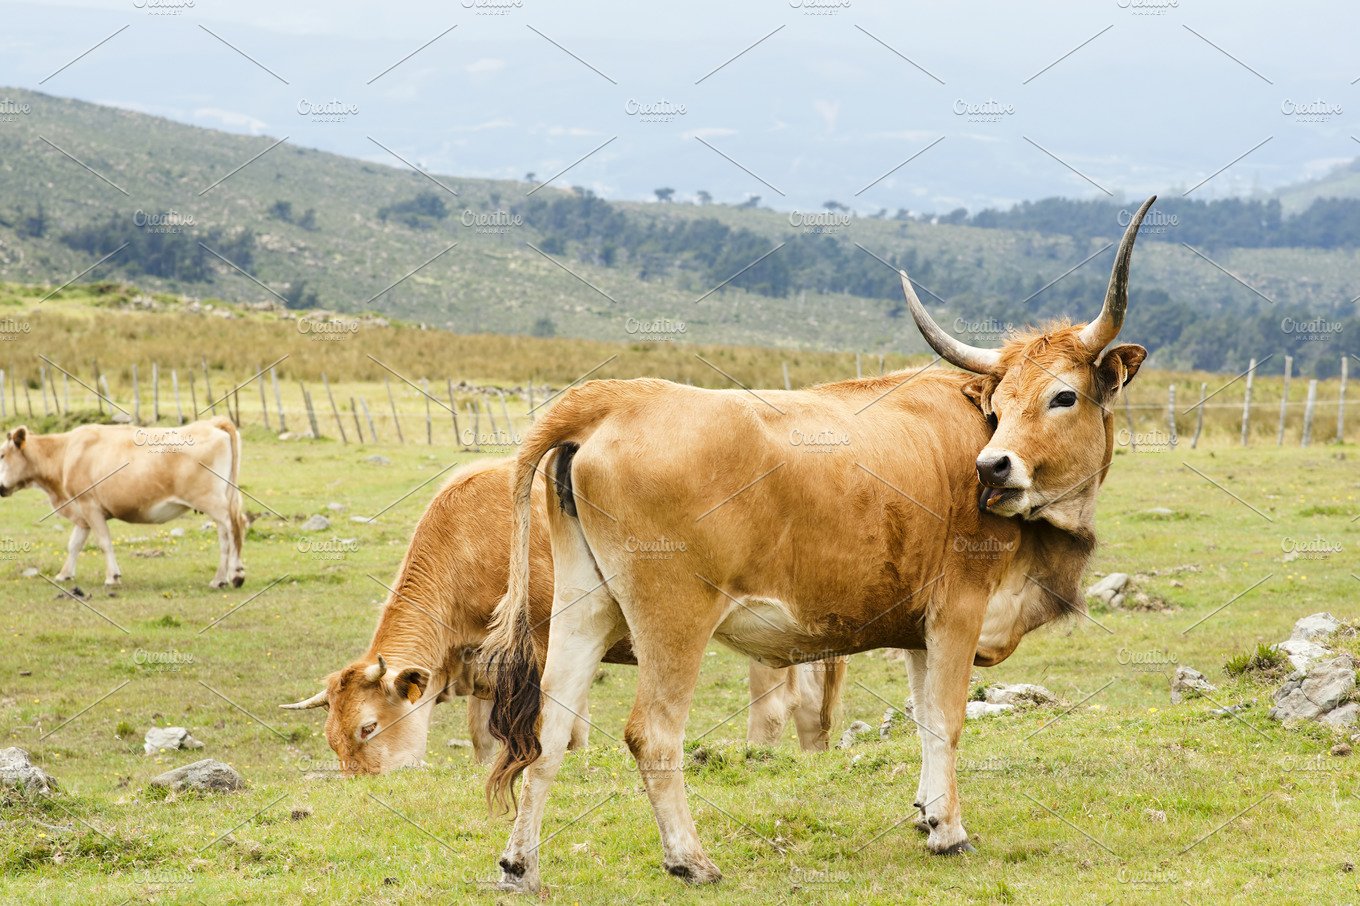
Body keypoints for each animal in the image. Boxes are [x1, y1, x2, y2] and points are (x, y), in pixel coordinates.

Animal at [0, 418, 246, 588]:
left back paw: (236, 574)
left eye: (2, 455)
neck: (64, 453)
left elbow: (104, 542)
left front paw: (112, 577)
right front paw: (64, 574)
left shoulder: (89, 506)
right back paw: (219, 579)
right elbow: (74, 544)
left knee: (235, 526)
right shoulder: (82, 514)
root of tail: (212, 423)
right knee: (224, 537)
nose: (0, 487)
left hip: (212, 501)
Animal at [279, 457, 846, 776]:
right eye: (332, 739)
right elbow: (484, 739)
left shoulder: (548, 640)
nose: (362, 784)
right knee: (810, 703)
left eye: (369, 727)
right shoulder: (483, 667)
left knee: (773, 707)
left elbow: (564, 724)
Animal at [482, 198, 1157, 891]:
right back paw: (689, 858)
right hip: (673, 620)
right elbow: (947, 720)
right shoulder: (957, 614)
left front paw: (926, 812)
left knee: (549, 729)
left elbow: (922, 720)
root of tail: (613, 399)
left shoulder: (918, 630)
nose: (992, 468)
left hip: (583, 608)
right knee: (653, 734)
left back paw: (519, 864)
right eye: (1000, 400)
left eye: (1063, 395)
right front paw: (949, 831)